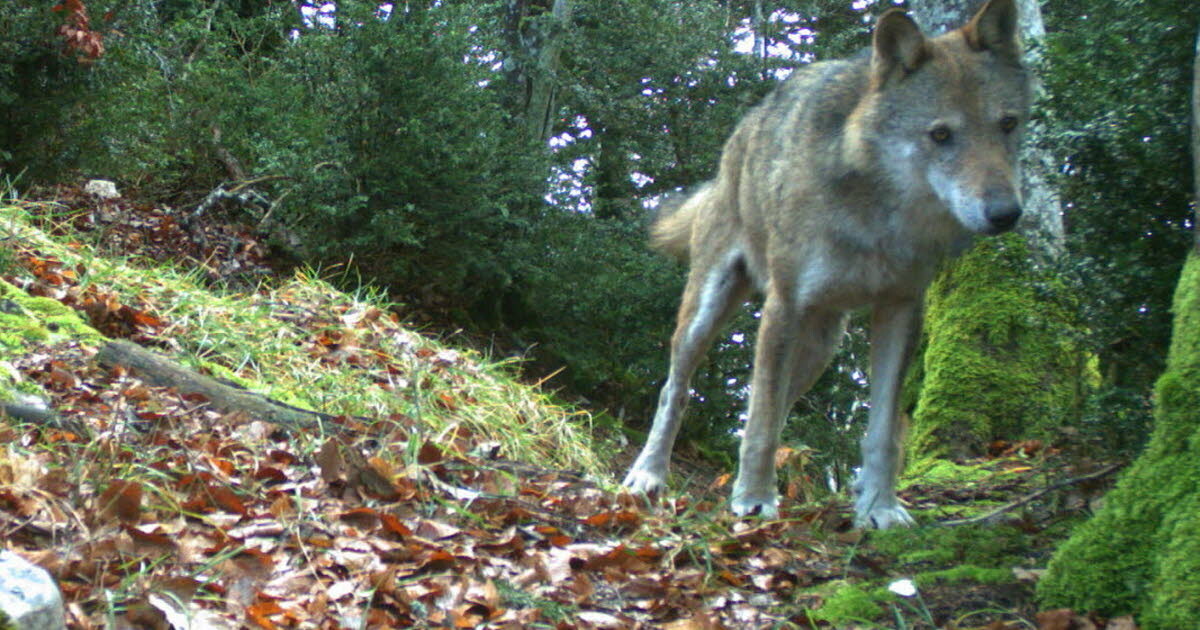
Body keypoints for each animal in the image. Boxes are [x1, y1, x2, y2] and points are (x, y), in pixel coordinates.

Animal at [623, 0, 1031, 528]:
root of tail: (731, 152)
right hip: (709, 315)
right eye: (941, 134)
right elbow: (759, 422)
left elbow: (881, 432)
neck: (879, 213)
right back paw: (648, 475)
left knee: (774, 405)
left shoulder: (902, 308)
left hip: (822, 346)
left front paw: (880, 506)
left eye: (1008, 124)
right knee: (678, 390)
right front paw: (754, 499)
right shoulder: (784, 305)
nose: (1006, 214)